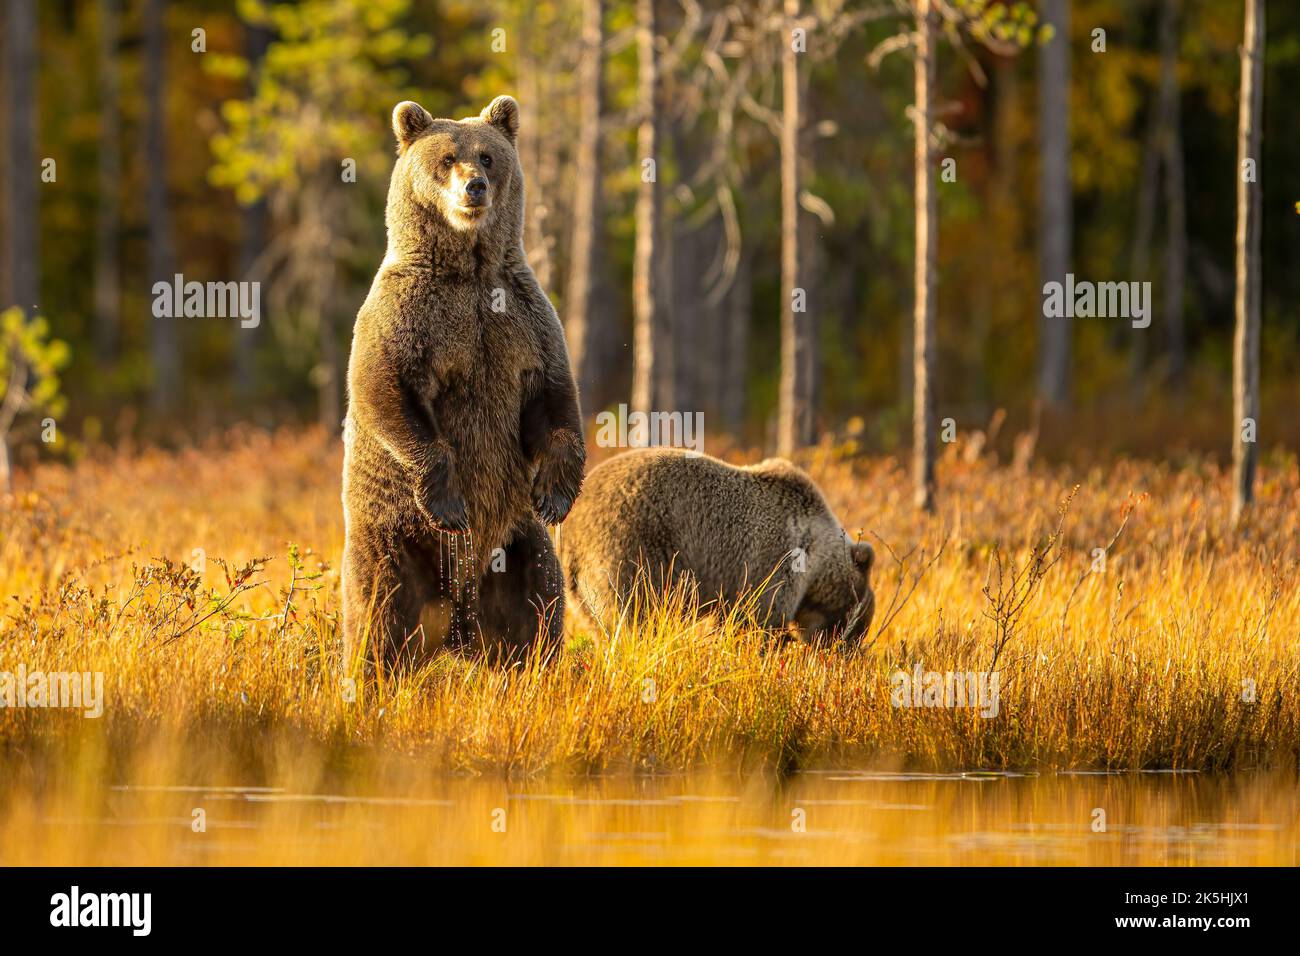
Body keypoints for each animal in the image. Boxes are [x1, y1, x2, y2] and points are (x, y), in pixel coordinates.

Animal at [341, 95, 585, 669]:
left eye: (488, 157)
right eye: (448, 157)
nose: (474, 185)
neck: (469, 270)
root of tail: (457, 624)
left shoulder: (524, 321)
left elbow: (555, 400)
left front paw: (556, 492)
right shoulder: (409, 315)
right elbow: (386, 390)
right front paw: (450, 501)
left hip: (518, 544)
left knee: (540, 607)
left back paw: (537, 667)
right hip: (393, 539)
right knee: (377, 614)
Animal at [560, 448, 875, 645]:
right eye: (857, 623)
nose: (848, 651)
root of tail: (571, 532)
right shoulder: (773, 562)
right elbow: (757, 620)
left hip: (582, 594)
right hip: (632, 548)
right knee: (635, 617)